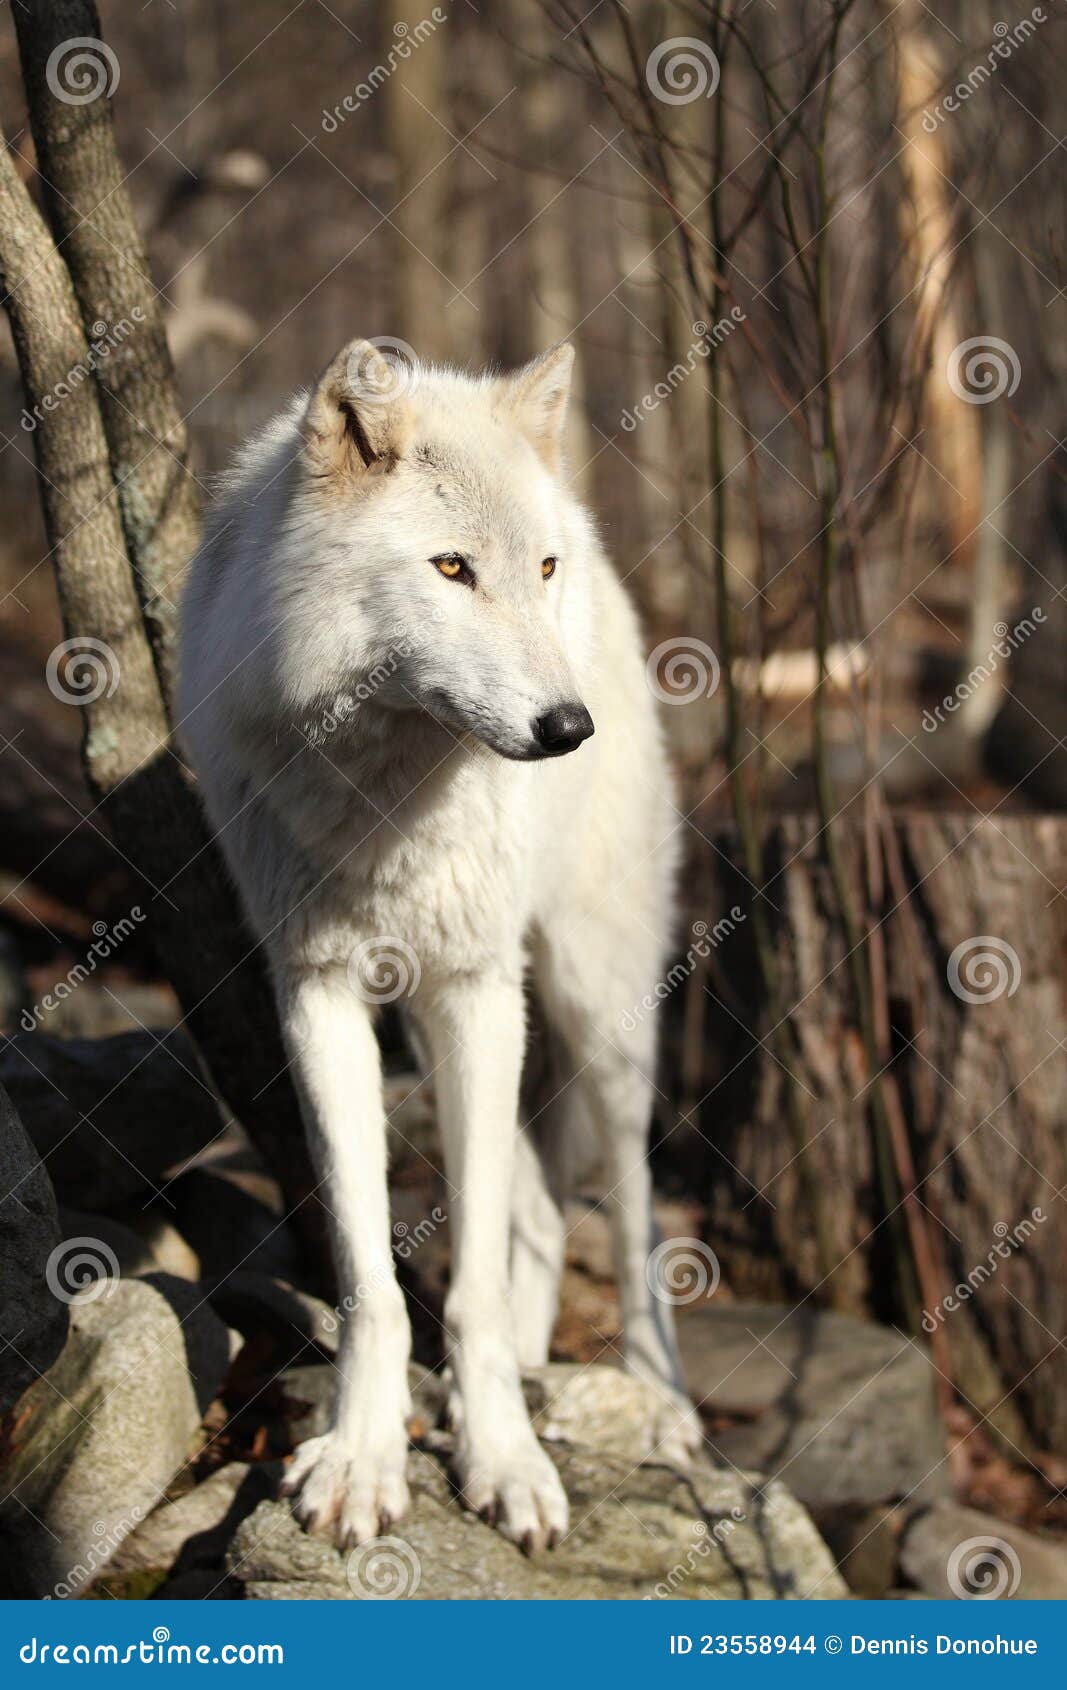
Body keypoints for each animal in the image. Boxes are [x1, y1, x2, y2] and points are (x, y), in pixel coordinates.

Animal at [178, 339, 699, 1554]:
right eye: (452, 568)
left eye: (538, 568)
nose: (568, 729)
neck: (383, 791)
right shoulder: (319, 994)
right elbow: (373, 1277)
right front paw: (365, 1460)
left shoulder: (472, 988)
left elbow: (469, 1287)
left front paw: (501, 1460)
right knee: (544, 1217)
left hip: (589, 1004)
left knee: (632, 1206)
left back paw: (657, 1396)